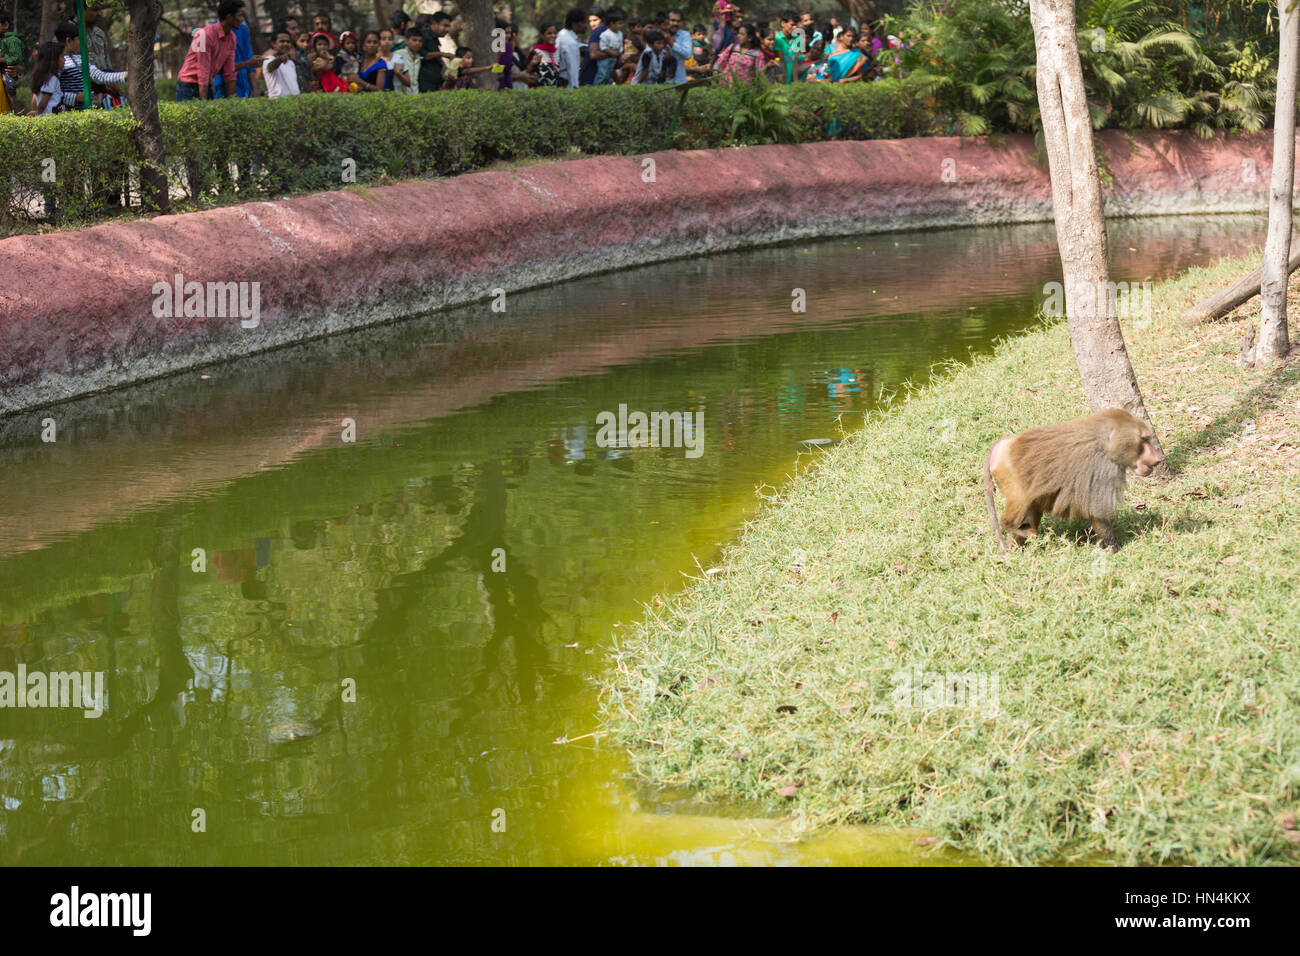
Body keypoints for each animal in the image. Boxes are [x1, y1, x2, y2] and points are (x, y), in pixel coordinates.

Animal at [984, 408, 1164, 552]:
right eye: (1143, 440)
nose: (1157, 459)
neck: (1104, 443)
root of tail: (1003, 445)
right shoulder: (1103, 469)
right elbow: (1098, 515)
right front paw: (1114, 549)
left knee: (1032, 505)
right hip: (1010, 474)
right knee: (1021, 501)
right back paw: (1013, 528)